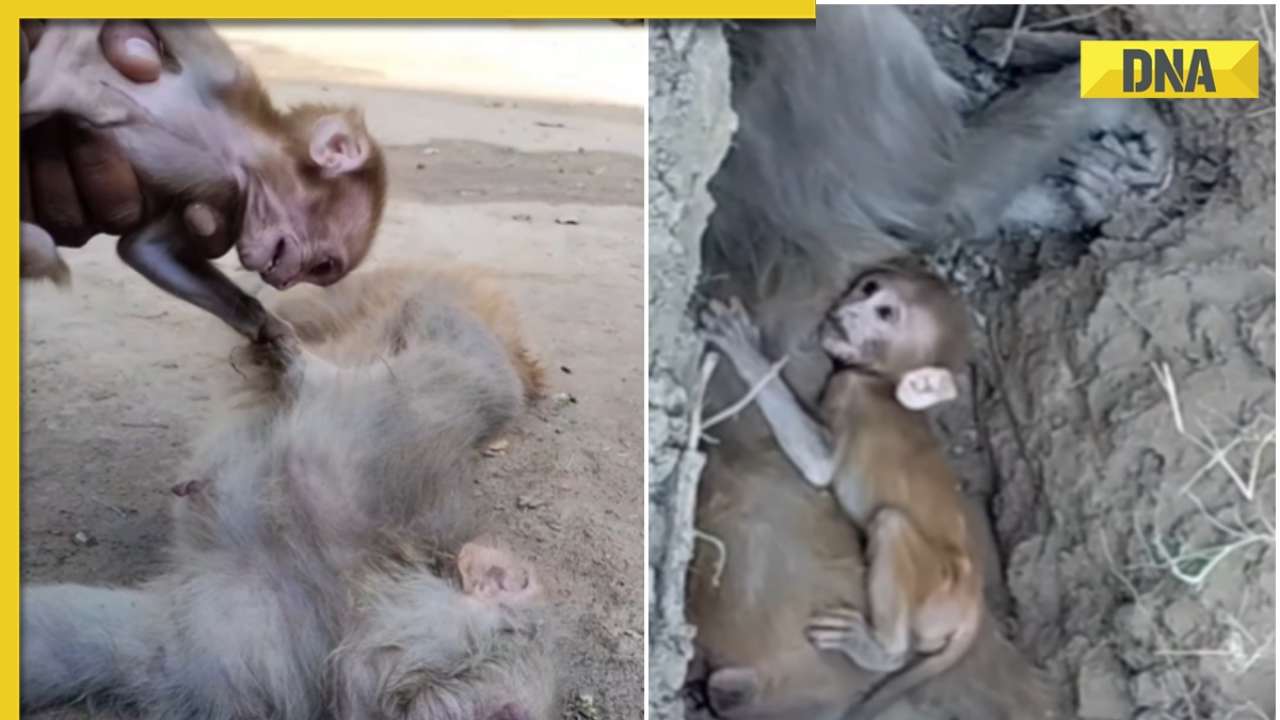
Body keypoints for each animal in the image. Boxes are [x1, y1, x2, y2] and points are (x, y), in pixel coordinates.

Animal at [20, 20, 387, 342]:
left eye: (317, 271)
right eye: (324, 265)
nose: (286, 284)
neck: (238, 159)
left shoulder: (219, 196)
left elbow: (142, 248)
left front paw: (265, 323)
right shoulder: (221, 73)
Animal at [20, 264, 560, 719]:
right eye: (505, 717)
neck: (343, 598)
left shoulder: (244, 650)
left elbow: (107, 645)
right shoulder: (380, 443)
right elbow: (481, 375)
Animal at [701, 260, 982, 720]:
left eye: (884, 313)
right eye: (868, 287)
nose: (844, 310)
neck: (882, 383)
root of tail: (974, 603)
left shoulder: (847, 392)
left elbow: (818, 467)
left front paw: (746, 352)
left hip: (937, 587)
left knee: (890, 526)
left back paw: (878, 649)